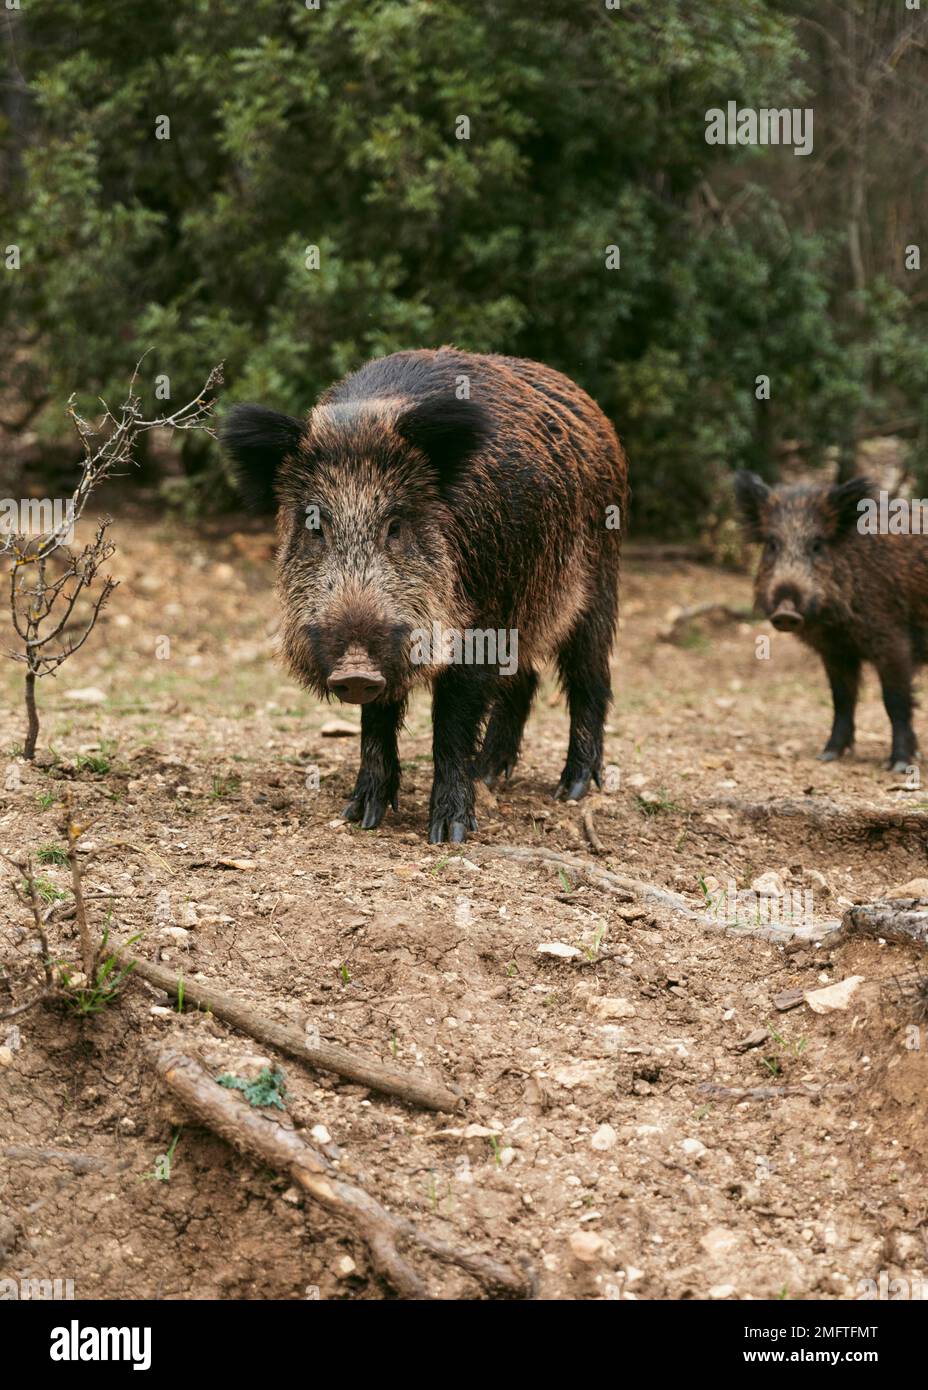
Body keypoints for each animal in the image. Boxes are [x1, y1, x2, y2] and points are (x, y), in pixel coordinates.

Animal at [222, 348, 627, 841]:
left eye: (396, 525)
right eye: (314, 525)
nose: (355, 669)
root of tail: (590, 408)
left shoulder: (480, 623)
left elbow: (451, 723)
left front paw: (449, 832)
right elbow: (376, 721)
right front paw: (361, 816)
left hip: (596, 583)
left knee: (589, 678)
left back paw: (571, 789)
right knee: (525, 680)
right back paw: (489, 773)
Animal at [734, 471, 928, 771]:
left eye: (817, 545)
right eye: (772, 545)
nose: (786, 612)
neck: (835, 624)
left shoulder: (893, 640)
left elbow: (895, 701)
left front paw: (898, 765)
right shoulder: (835, 651)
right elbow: (842, 698)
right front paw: (827, 755)